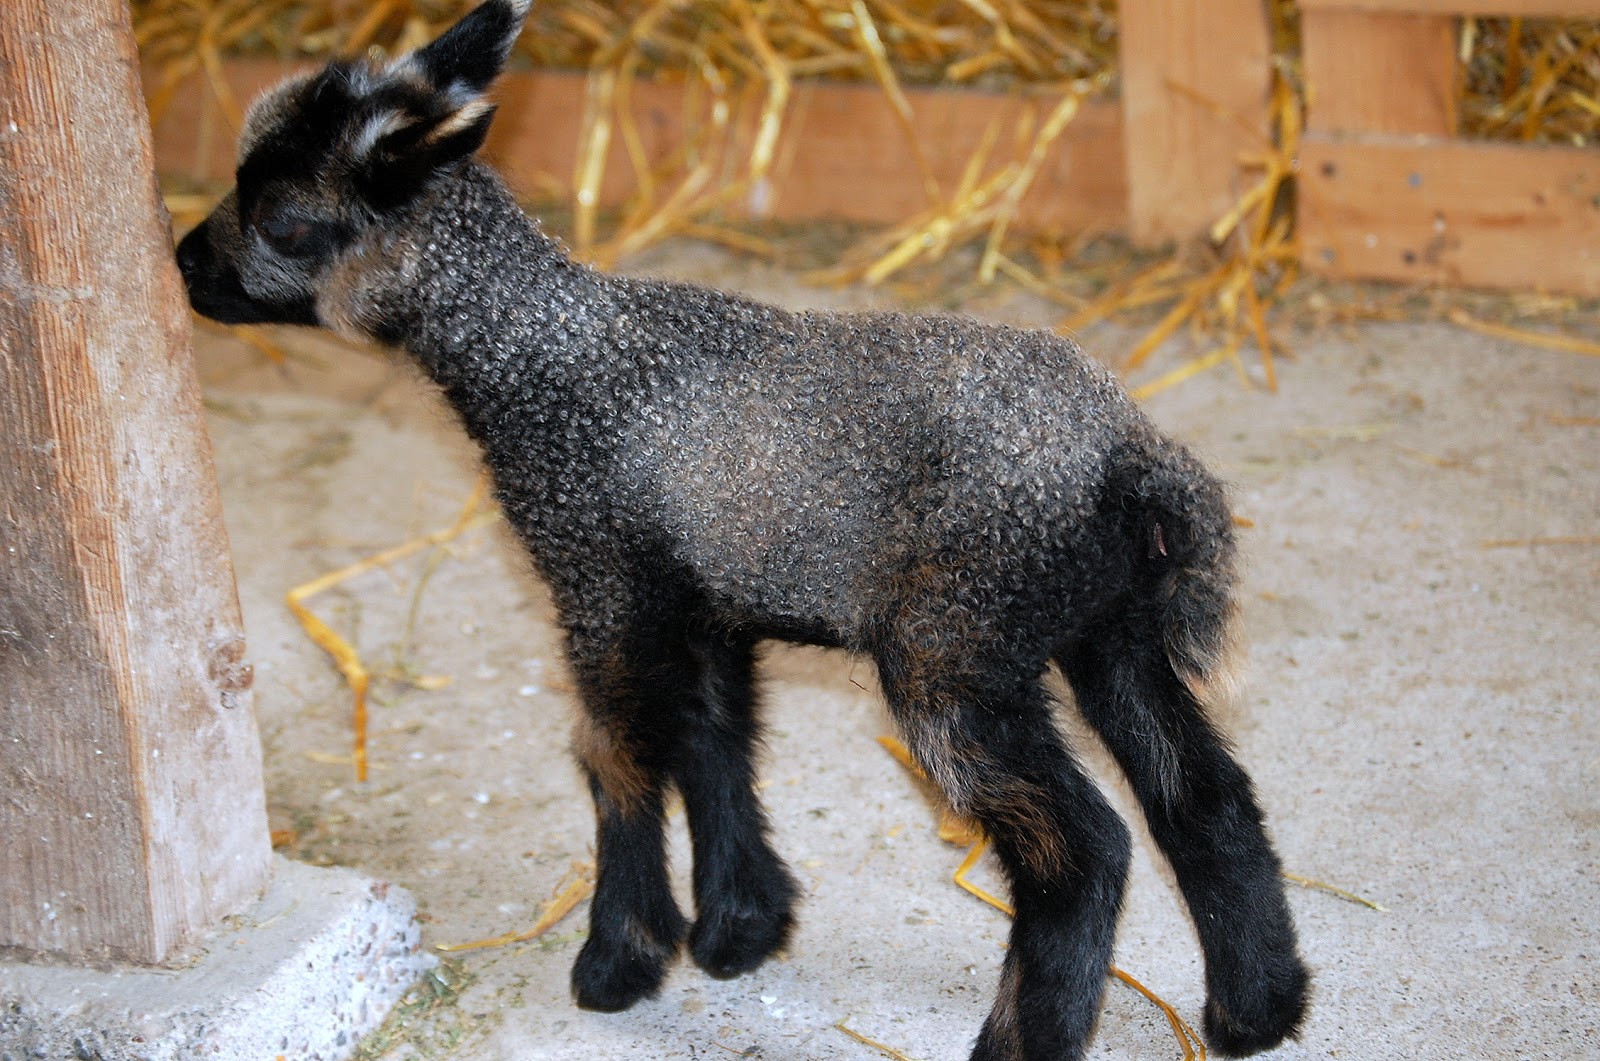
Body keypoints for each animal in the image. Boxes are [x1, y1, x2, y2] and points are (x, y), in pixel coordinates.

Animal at [174, 3, 1309, 1057]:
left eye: (282, 218)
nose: (183, 260)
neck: (544, 357)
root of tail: (1132, 457)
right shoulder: (706, 596)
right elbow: (714, 739)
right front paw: (738, 925)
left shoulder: (595, 577)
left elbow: (615, 752)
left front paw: (619, 955)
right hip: (1106, 627)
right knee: (1203, 795)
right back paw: (1256, 1009)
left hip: (957, 642)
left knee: (1084, 850)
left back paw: (1025, 1037)